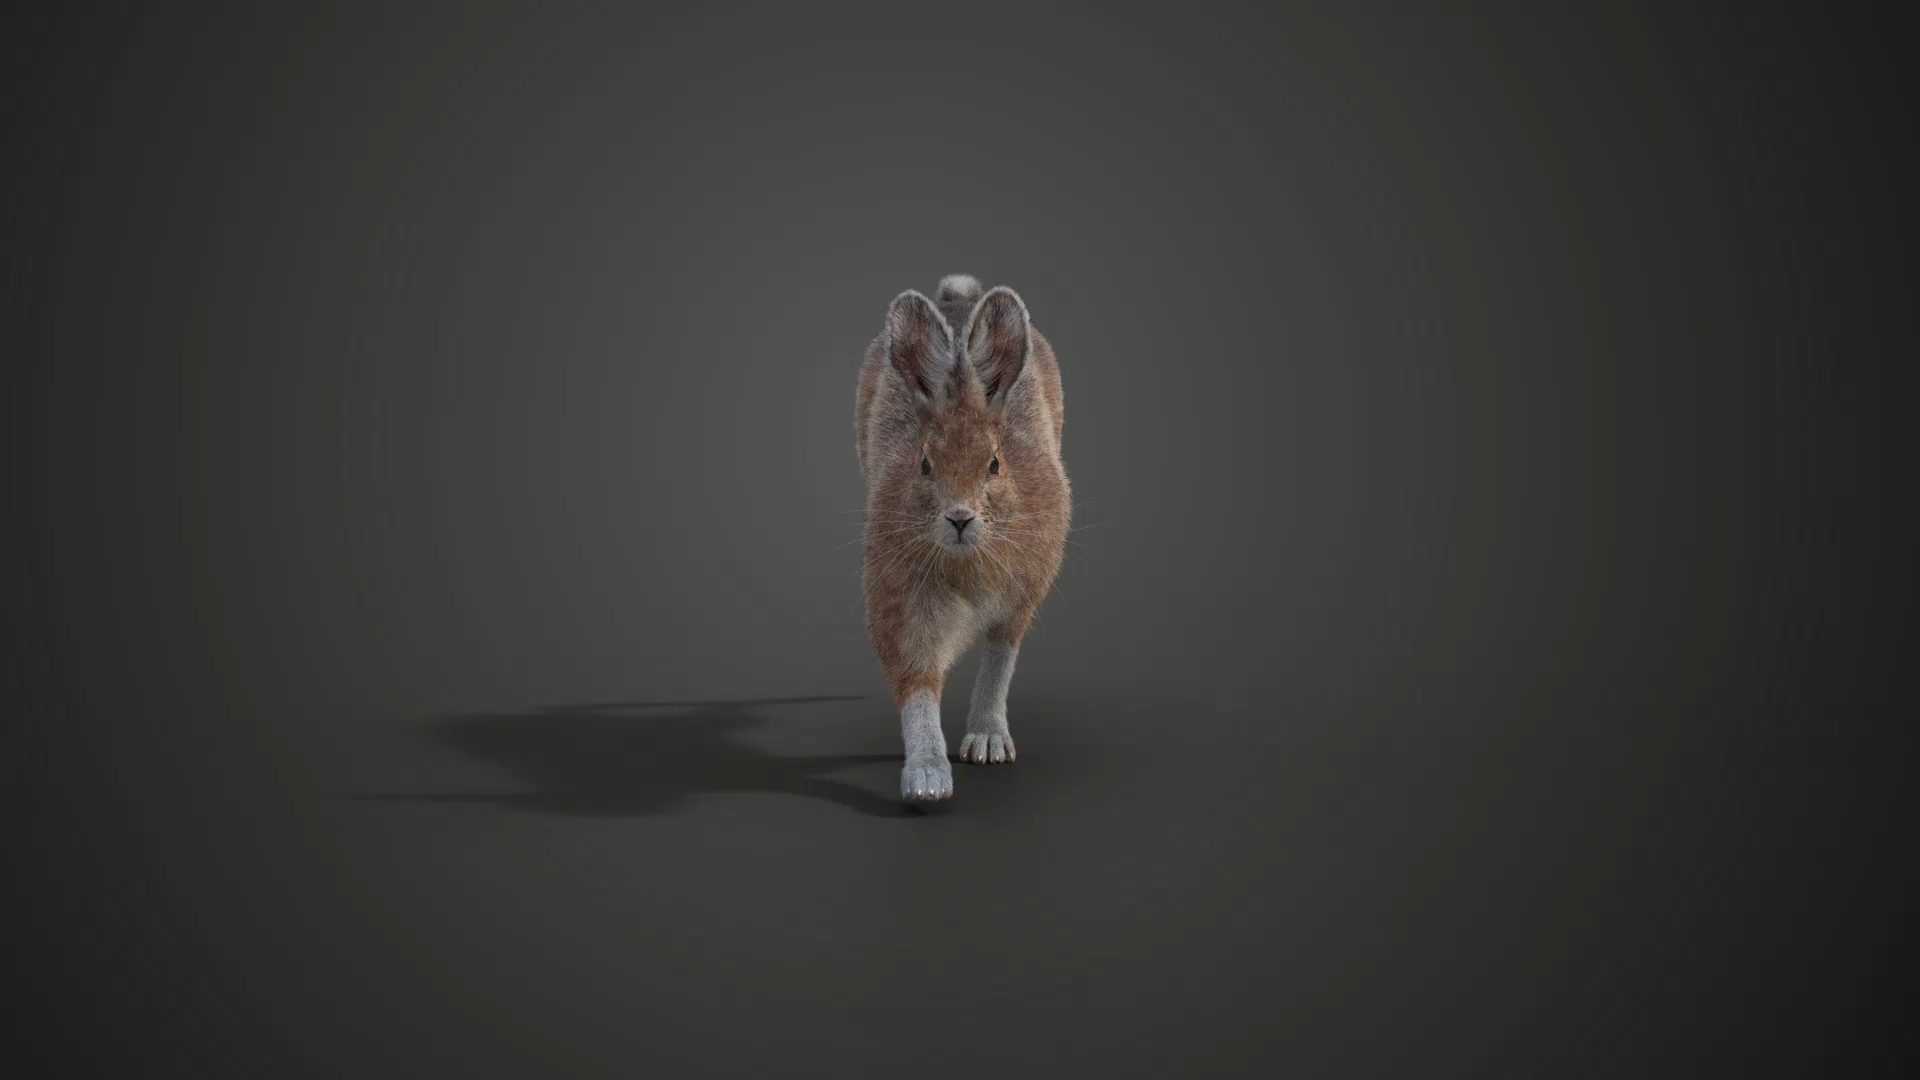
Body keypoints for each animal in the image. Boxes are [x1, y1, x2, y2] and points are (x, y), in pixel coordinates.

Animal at [855, 274, 1071, 802]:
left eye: (994, 462)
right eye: (924, 463)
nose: (959, 518)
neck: (964, 559)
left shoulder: (1019, 597)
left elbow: (999, 657)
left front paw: (988, 743)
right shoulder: (902, 606)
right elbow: (917, 686)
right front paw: (928, 779)